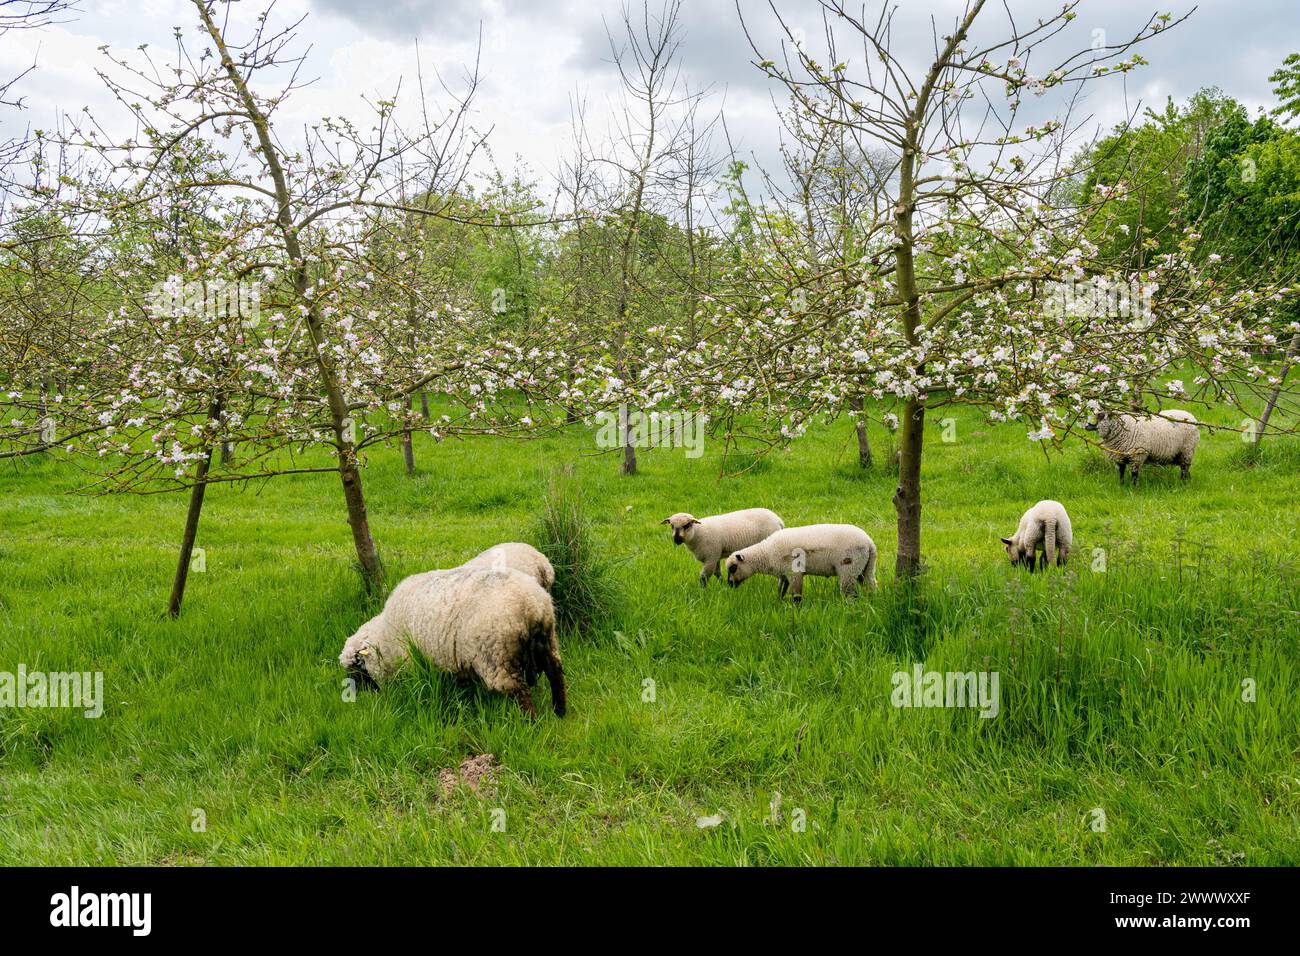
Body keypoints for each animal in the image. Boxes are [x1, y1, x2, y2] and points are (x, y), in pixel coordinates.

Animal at [338, 566, 566, 718]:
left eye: (356, 667)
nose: (354, 695)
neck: (385, 636)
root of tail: (531, 604)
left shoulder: (411, 662)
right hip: (547, 640)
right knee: (555, 673)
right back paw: (560, 711)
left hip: (497, 656)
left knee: (520, 693)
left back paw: (530, 723)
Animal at [723, 524, 877, 602]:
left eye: (733, 568)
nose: (729, 584)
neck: (766, 554)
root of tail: (869, 543)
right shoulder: (783, 573)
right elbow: (780, 590)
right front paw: (779, 602)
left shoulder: (794, 572)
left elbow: (797, 595)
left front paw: (796, 609)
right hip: (864, 568)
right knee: (871, 586)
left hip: (849, 568)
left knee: (850, 594)